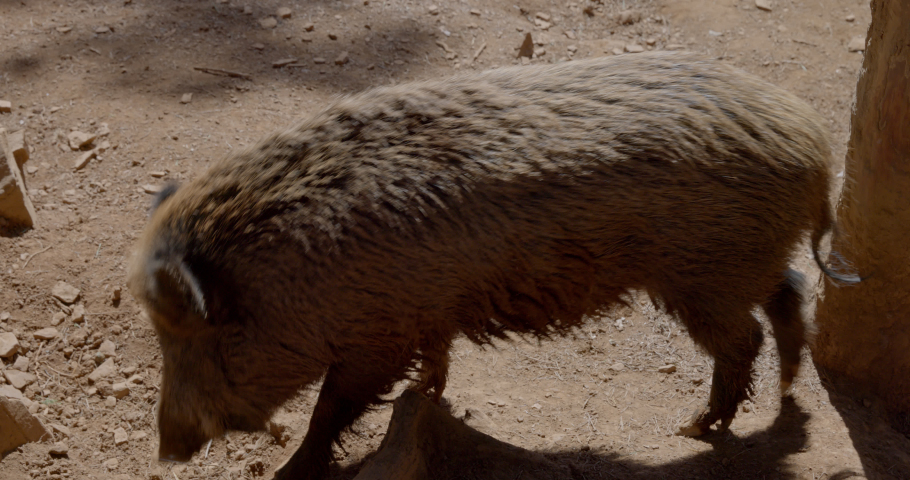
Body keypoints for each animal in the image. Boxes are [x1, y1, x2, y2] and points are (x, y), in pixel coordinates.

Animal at [127, 51, 858, 480]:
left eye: (196, 338)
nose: (165, 450)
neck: (294, 275)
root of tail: (815, 145)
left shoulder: (377, 333)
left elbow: (332, 406)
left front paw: (292, 472)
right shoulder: (423, 311)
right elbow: (430, 361)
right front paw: (430, 396)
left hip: (703, 276)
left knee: (747, 336)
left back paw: (696, 428)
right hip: (740, 264)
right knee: (790, 294)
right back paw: (781, 395)